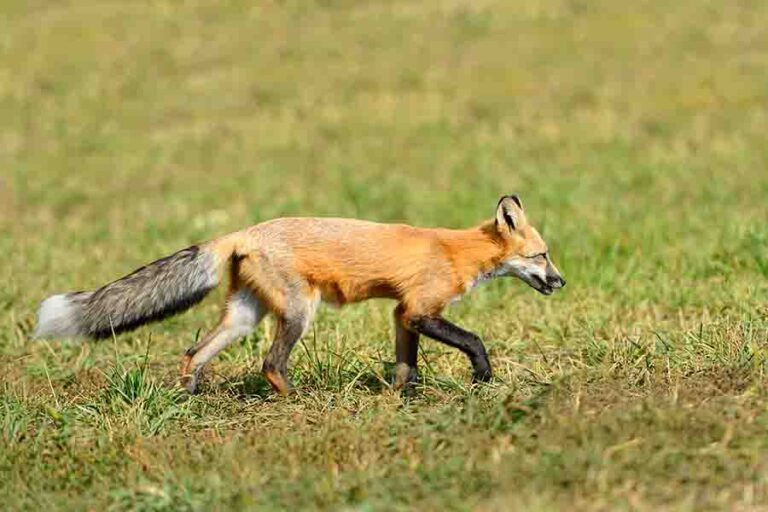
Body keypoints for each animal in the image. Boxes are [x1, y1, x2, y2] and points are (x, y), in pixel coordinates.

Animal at [34, 195, 565, 394]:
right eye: (542, 256)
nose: (561, 282)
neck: (457, 251)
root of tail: (245, 232)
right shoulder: (419, 309)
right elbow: (473, 339)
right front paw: (483, 376)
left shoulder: (401, 315)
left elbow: (405, 366)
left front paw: (399, 399)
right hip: (297, 312)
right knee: (270, 363)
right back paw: (295, 399)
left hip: (243, 317)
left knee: (193, 352)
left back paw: (188, 396)